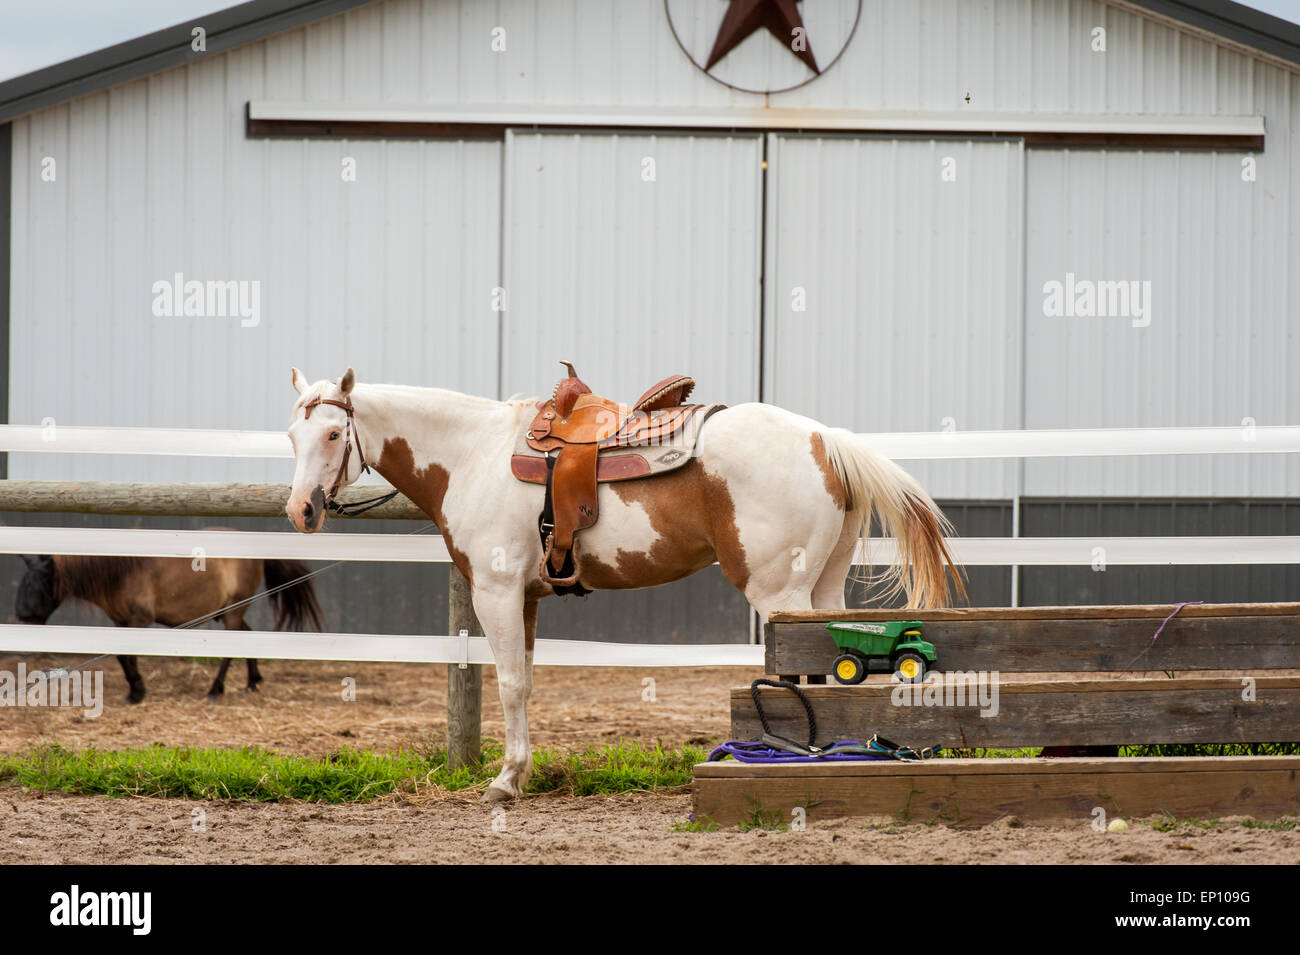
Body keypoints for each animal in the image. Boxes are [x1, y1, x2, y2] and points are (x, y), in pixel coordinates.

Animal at [14, 550, 325, 703]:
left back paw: (215, 690)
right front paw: (135, 689)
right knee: (245, 638)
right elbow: (122, 657)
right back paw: (252, 682)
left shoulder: (139, 620)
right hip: (228, 611)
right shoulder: (119, 621)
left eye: (38, 584)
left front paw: (137, 692)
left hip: (234, 610)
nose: (23, 618)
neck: (120, 574)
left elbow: (128, 656)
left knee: (229, 650)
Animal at [283, 366, 964, 801]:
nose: (301, 511)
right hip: (821, 591)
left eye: (335, 434)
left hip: (780, 595)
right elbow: (525, 683)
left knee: (799, 674)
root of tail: (825, 438)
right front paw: (520, 774)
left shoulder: (495, 593)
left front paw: (504, 782)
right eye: (293, 435)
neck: (473, 455)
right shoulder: (525, 599)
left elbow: (508, 686)